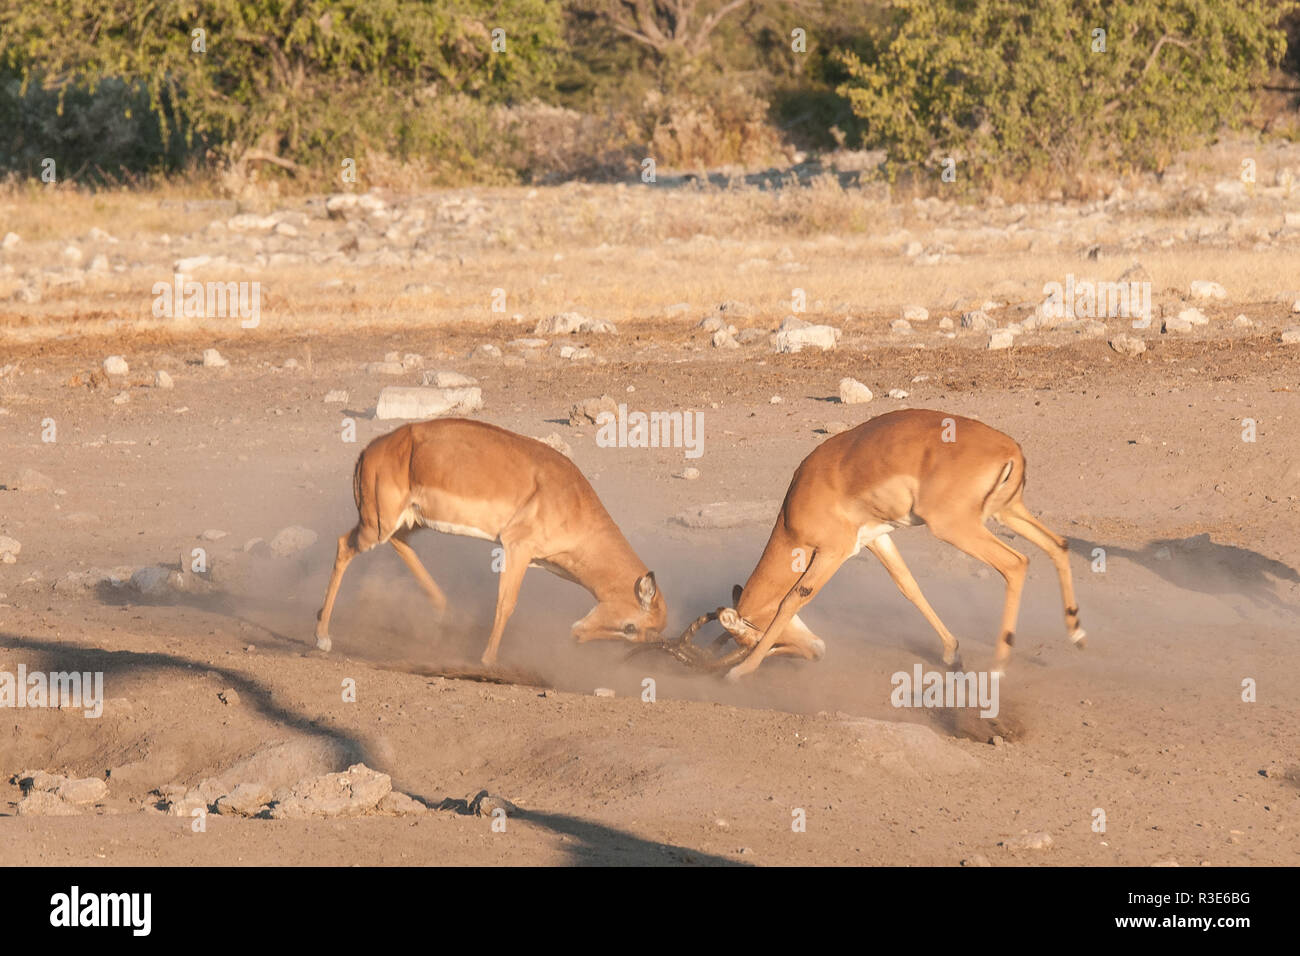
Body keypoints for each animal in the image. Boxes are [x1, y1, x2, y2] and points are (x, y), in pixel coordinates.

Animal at [314, 418, 667, 665]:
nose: (577, 636)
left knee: (399, 545)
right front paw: (489, 660)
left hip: (407, 522)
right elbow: (505, 603)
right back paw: (322, 637)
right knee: (344, 545)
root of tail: (369, 450)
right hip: (377, 525)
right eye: (631, 627)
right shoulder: (517, 548)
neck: (573, 500)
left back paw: (446, 614)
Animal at [654, 409, 1084, 680]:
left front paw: (740, 672)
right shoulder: (877, 538)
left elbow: (794, 598)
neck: (797, 509)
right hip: (1006, 512)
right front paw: (951, 651)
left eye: (751, 638)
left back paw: (998, 665)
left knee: (1016, 563)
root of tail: (1010, 451)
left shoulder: (832, 551)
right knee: (1058, 544)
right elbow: (908, 586)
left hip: (957, 527)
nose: (815, 652)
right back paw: (1076, 634)